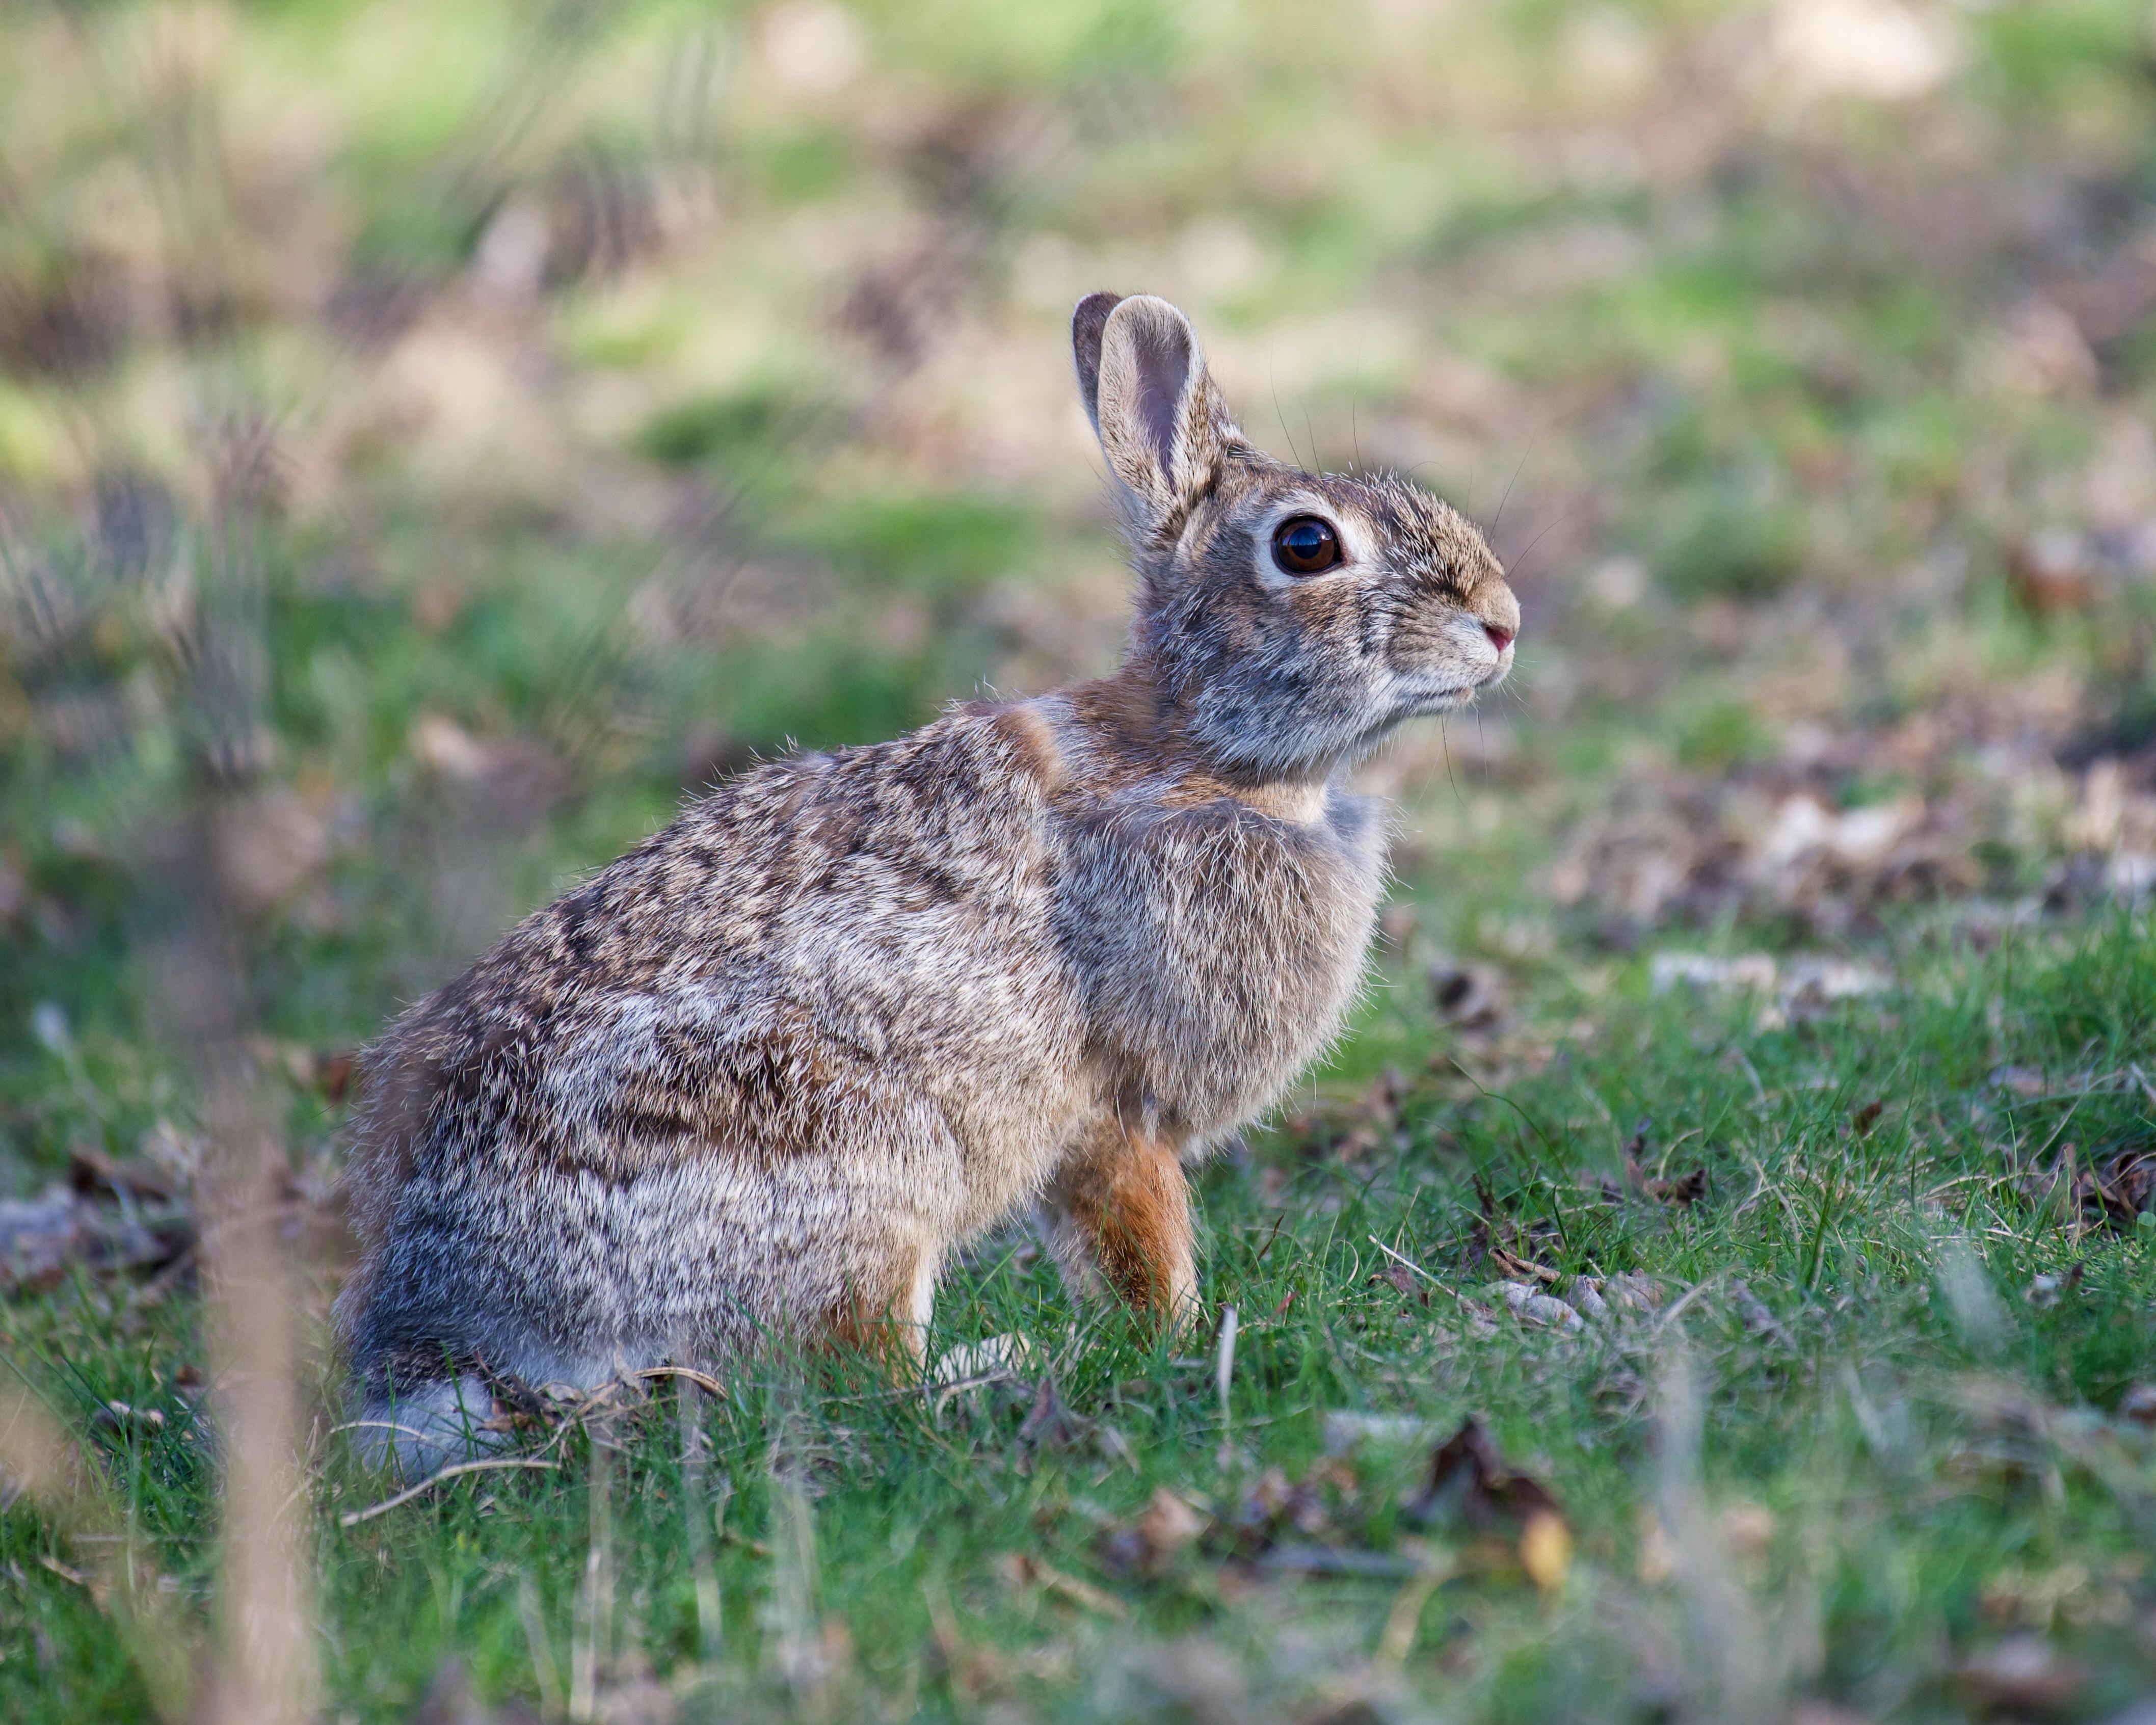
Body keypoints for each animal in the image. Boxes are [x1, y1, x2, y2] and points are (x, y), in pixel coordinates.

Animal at [334, 291, 1519, 1474]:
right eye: (1306, 544)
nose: (1502, 622)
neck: (1208, 759)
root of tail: (446, 1331)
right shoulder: (1113, 1112)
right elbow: (1138, 1240)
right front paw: (1176, 1339)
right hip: (850, 1174)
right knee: (851, 1381)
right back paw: (990, 1368)